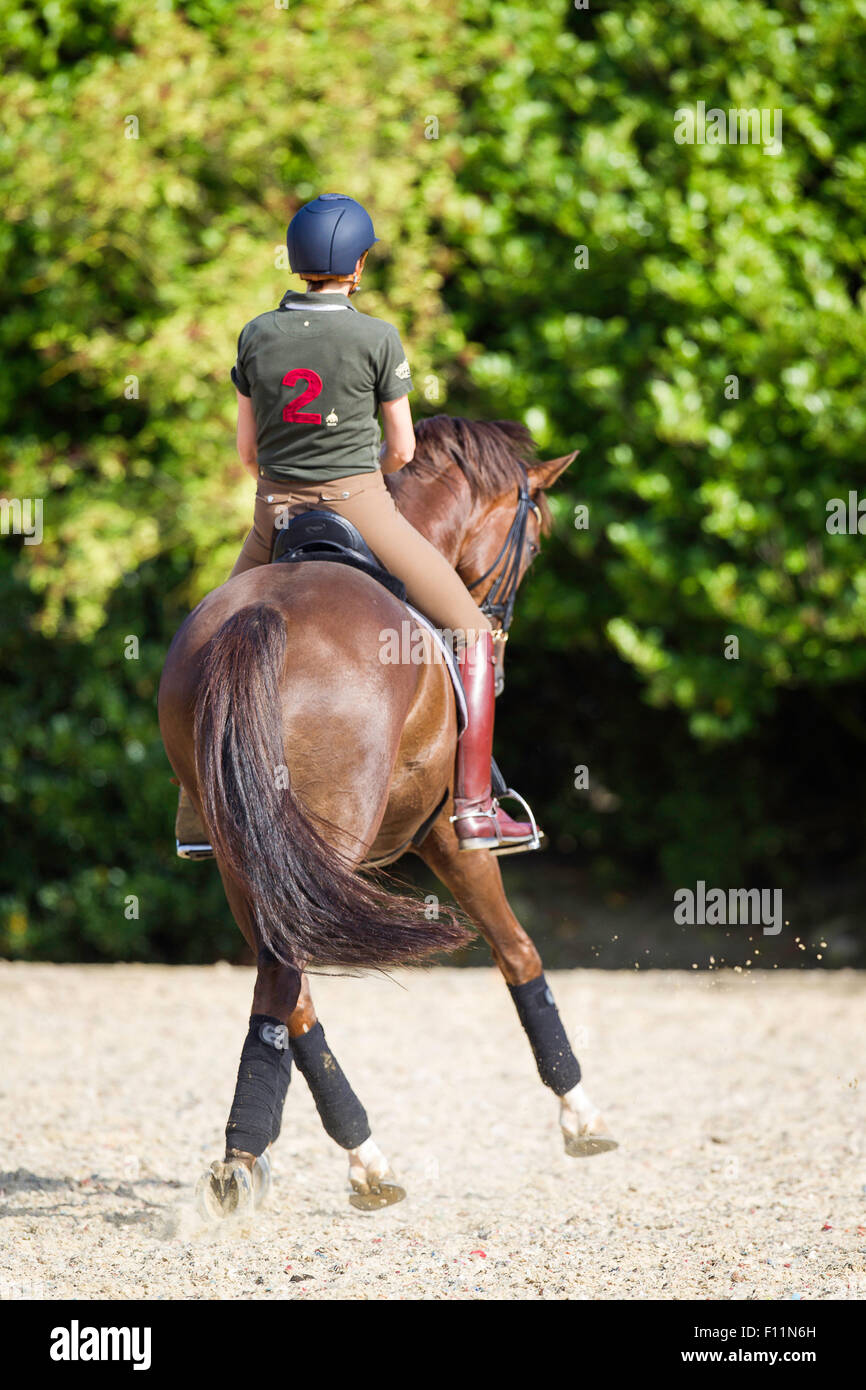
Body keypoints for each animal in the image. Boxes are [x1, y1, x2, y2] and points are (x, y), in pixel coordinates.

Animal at [158, 414, 616, 1218]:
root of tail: (260, 615)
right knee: (287, 980)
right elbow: (519, 951)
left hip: (246, 859)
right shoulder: (448, 838)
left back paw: (300, 1156)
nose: (499, 643)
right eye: (531, 546)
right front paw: (580, 1114)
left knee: (290, 991)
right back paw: (299, 1157)